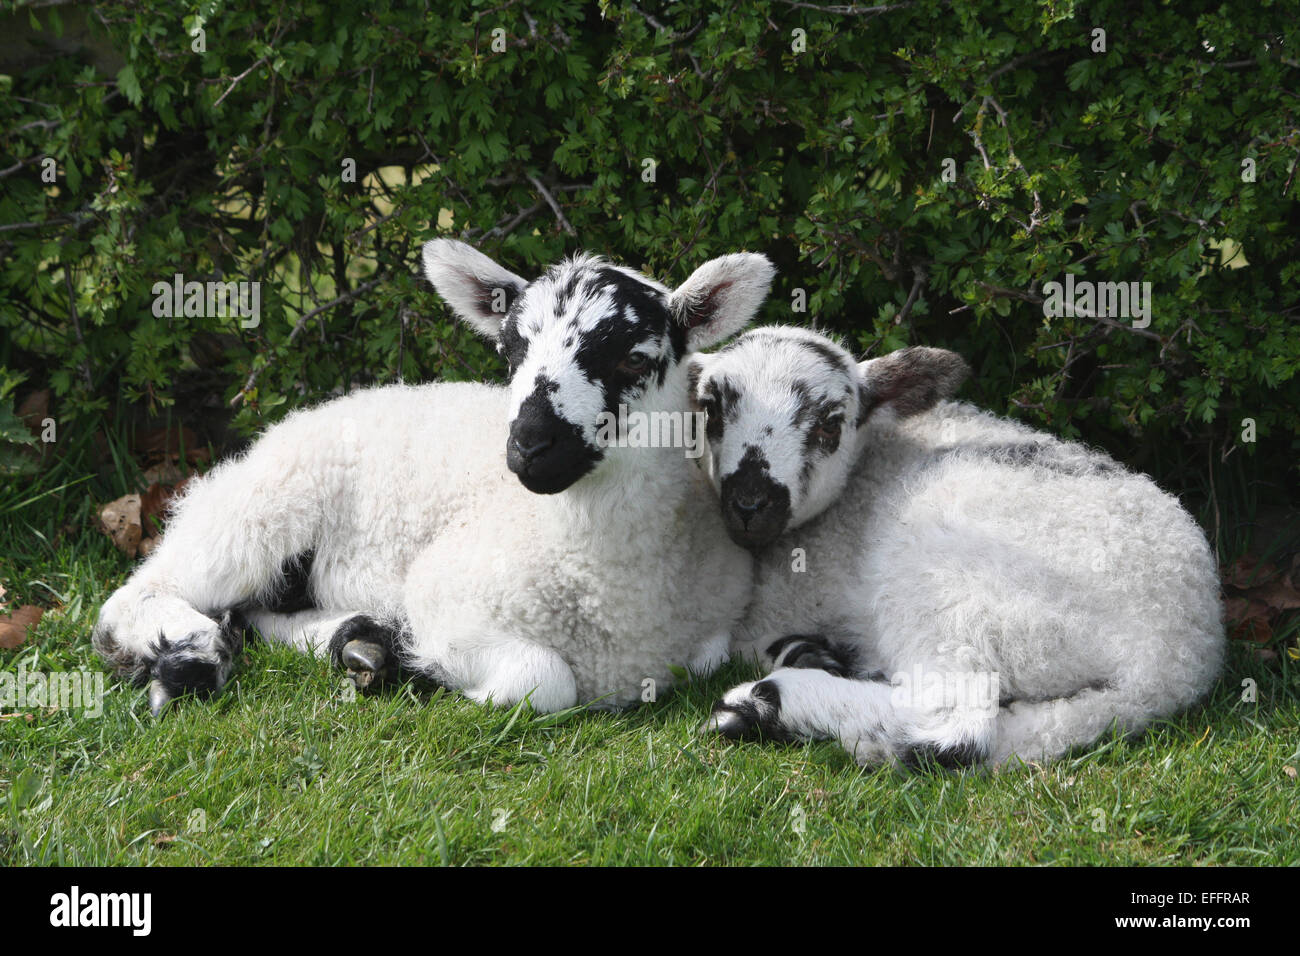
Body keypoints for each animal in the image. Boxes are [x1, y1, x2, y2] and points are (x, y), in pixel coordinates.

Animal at [92, 240, 774, 715]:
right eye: (509, 352)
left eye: (634, 358)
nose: (529, 446)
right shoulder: (449, 599)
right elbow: (543, 681)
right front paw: (423, 670)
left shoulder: (711, 638)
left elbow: (706, 657)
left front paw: (383, 653)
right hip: (263, 507)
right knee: (140, 596)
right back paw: (193, 656)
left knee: (256, 615)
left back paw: (354, 641)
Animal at [688, 326, 1225, 768]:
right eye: (711, 408)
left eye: (829, 424)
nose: (750, 503)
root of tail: (1172, 660)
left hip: (953, 590)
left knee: (954, 725)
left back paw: (763, 702)